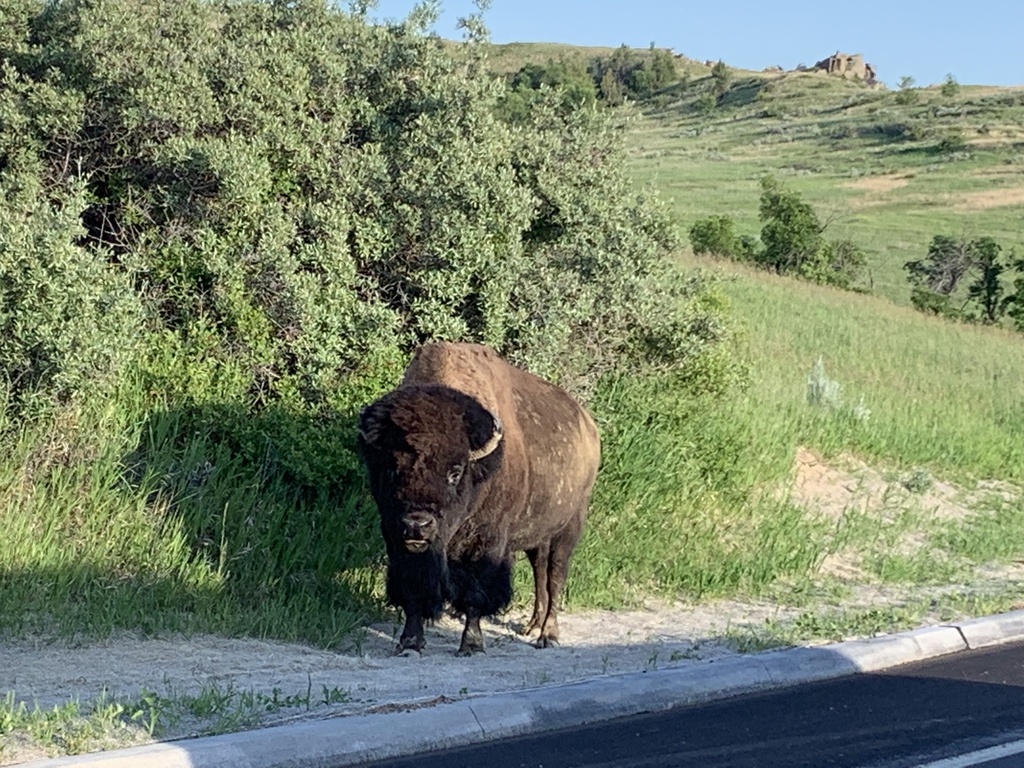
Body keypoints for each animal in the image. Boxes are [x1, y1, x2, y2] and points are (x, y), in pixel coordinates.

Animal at [358, 342, 601, 655]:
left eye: (455, 471)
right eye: (391, 468)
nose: (417, 525)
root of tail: (589, 427)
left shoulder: (487, 542)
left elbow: (475, 593)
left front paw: (471, 644)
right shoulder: (395, 537)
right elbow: (413, 588)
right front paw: (410, 642)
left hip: (569, 527)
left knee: (555, 576)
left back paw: (548, 636)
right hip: (539, 536)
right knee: (540, 573)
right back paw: (532, 626)